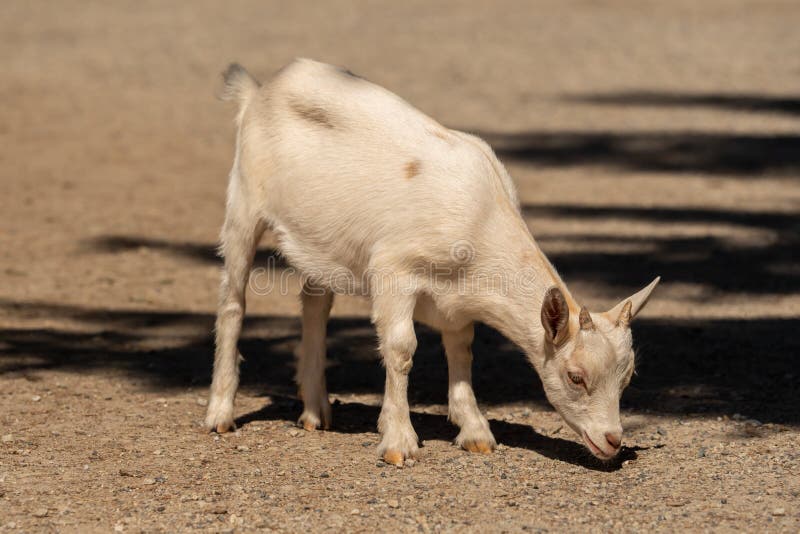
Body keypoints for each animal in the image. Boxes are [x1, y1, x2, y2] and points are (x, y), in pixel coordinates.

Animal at [205, 59, 659, 465]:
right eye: (575, 376)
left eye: (628, 376)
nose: (612, 441)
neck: (481, 218)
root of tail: (258, 91)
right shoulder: (394, 272)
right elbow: (402, 348)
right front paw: (398, 441)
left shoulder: (456, 301)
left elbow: (462, 350)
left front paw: (475, 431)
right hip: (243, 203)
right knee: (233, 302)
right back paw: (220, 414)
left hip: (319, 242)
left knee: (314, 303)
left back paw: (316, 411)